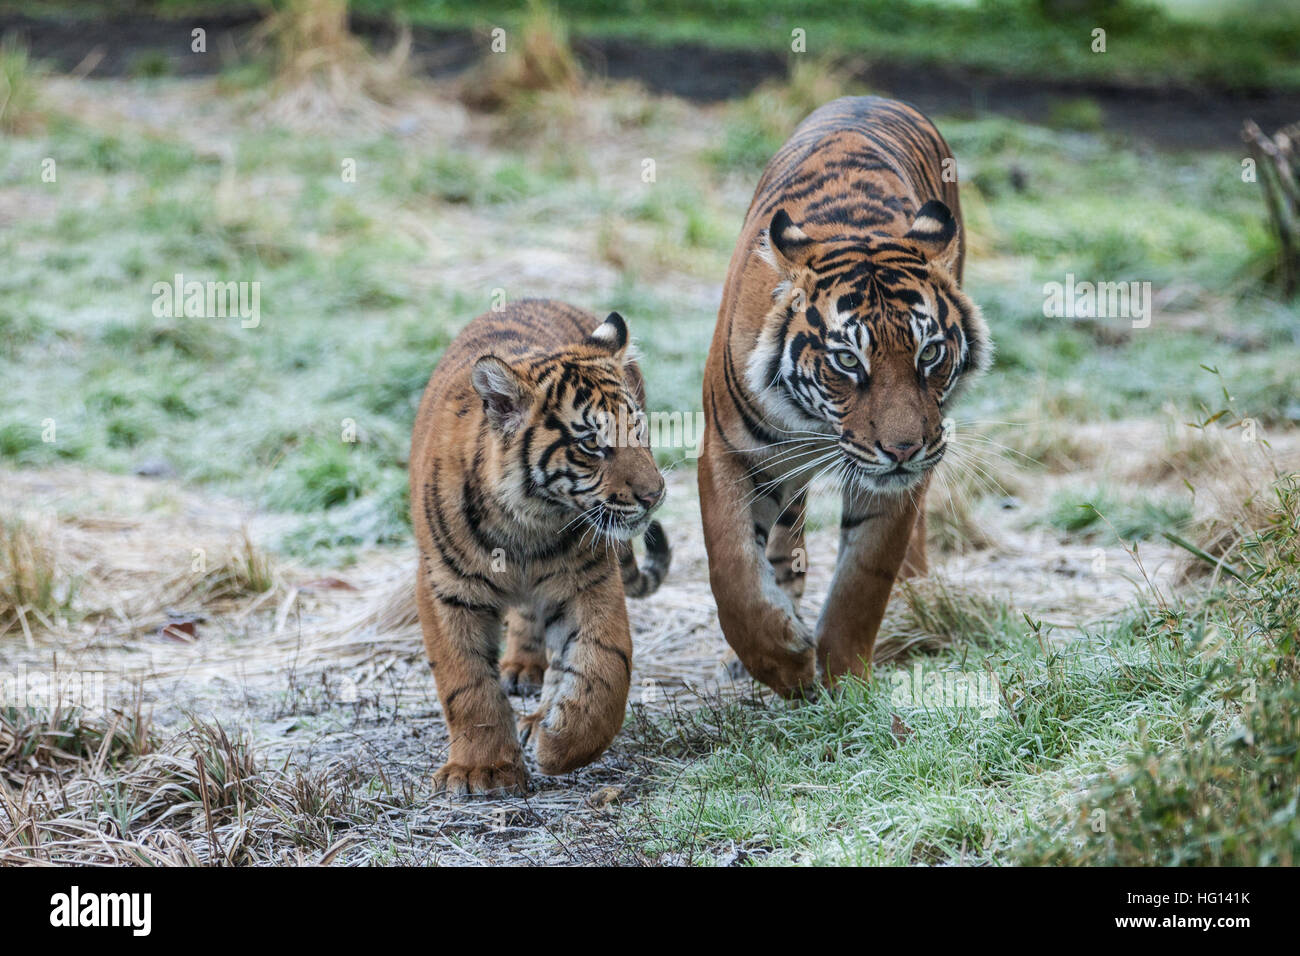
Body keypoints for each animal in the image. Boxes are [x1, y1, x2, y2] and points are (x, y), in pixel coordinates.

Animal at [409, 298, 670, 798]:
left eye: (638, 428)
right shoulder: (445, 588)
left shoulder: (588, 582)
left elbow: (604, 669)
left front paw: (560, 743)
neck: (527, 524)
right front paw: (482, 770)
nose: (654, 495)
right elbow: (466, 682)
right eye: (592, 443)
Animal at [698, 96, 991, 698]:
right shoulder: (728, 451)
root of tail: (873, 97)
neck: (818, 423)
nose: (903, 449)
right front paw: (783, 659)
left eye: (930, 353)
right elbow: (733, 572)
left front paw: (845, 682)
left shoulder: (897, 481)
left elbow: (863, 582)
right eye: (848, 361)